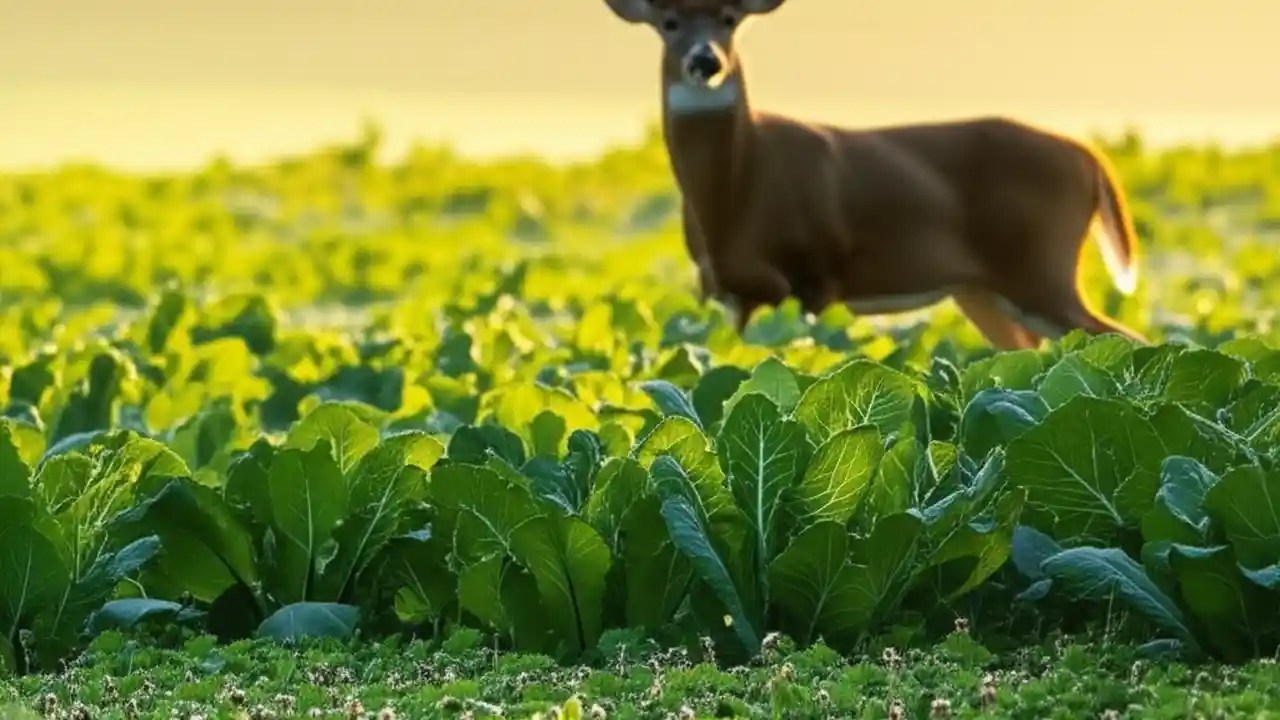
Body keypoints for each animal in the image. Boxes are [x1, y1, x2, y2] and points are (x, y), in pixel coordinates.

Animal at [601, 0, 1148, 349]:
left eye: (730, 19)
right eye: (669, 21)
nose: (705, 60)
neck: (736, 197)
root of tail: (1093, 158)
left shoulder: (817, 273)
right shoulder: (721, 288)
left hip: (1041, 268)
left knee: (1130, 339)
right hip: (983, 291)